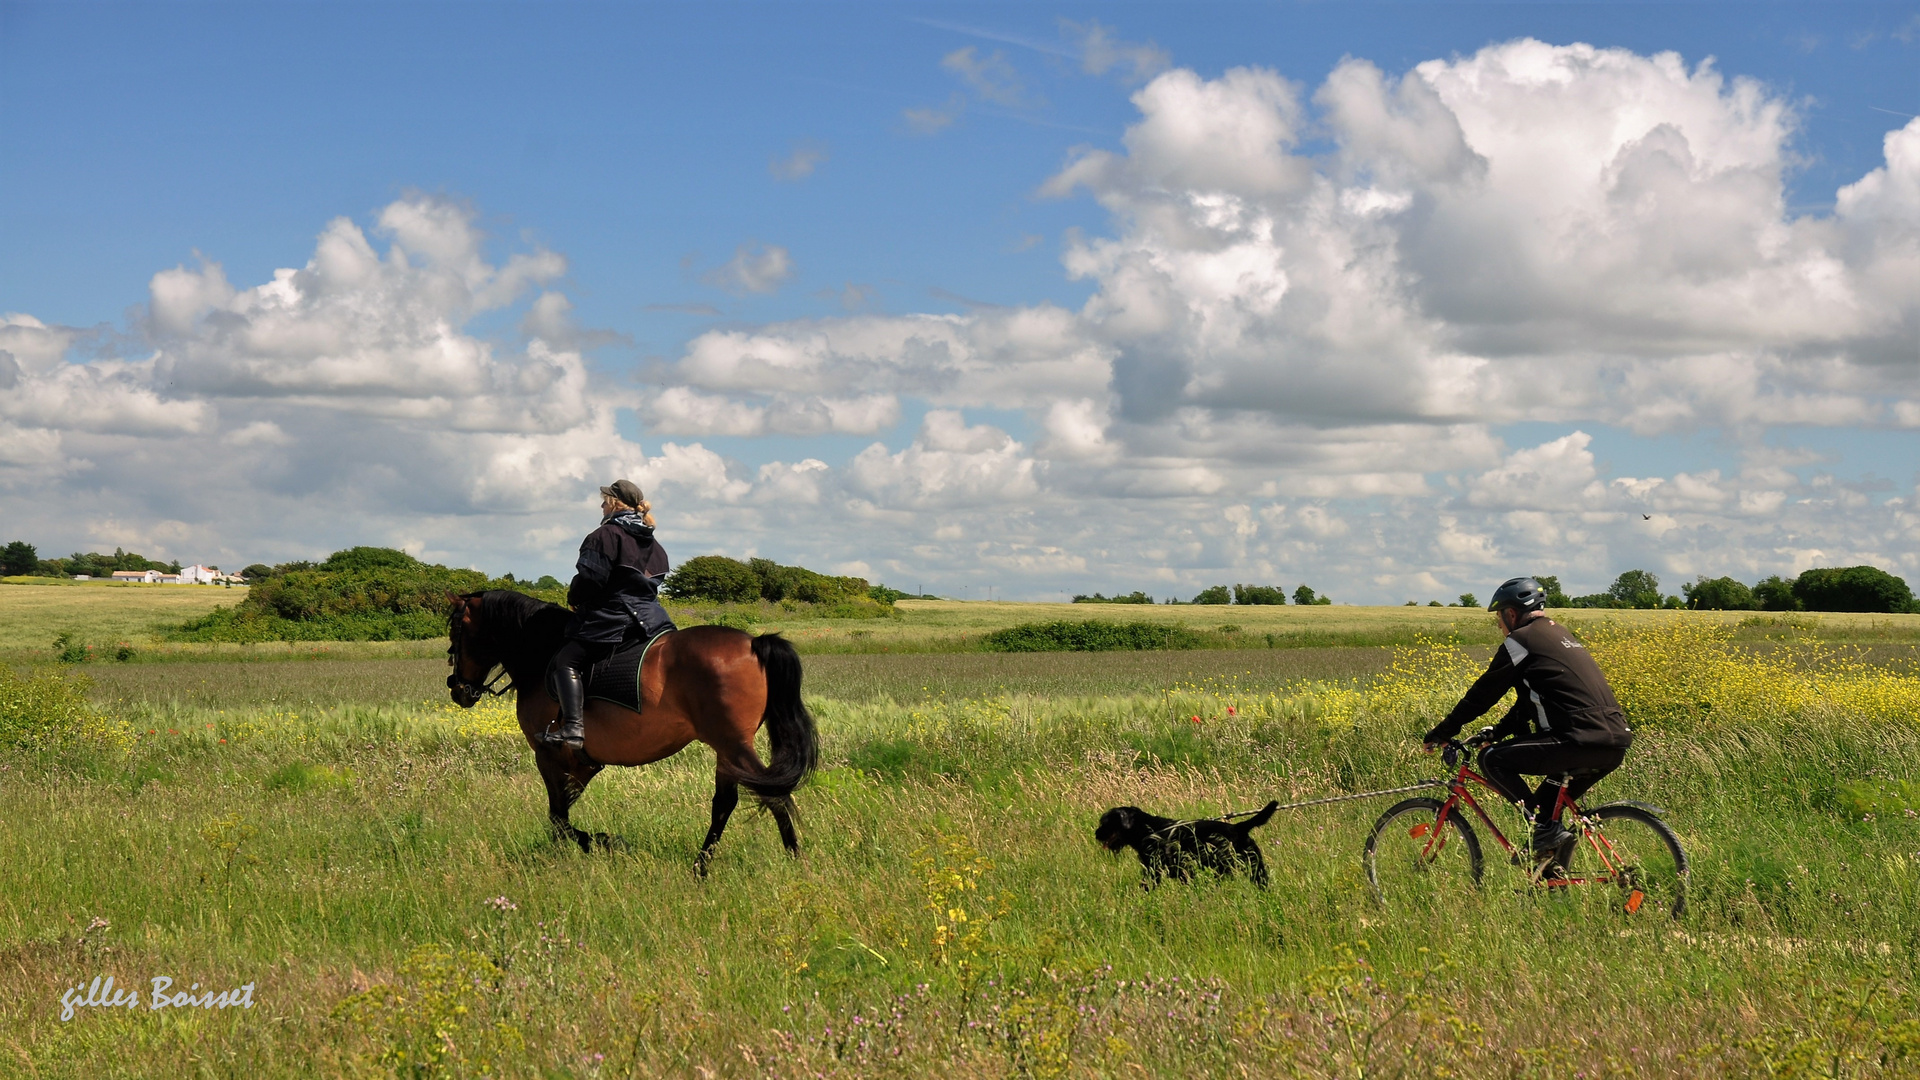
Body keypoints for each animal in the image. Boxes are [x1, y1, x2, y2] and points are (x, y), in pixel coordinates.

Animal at [447, 584, 817, 868]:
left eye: (455, 631)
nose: (457, 688)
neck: (542, 656)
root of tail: (753, 642)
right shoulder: (582, 765)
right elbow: (561, 816)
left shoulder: (550, 756)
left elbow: (559, 819)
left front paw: (603, 841)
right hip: (726, 749)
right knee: (726, 803)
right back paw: (701, 868)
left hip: (733, 745)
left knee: (773, 795)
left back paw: (794, 862)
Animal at [1098, 795, 1274, 887]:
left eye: (1106, 822)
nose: (1096, 833)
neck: (1149, 829)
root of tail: (1239, 827)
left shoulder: (1154, 871)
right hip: (1256, 870)